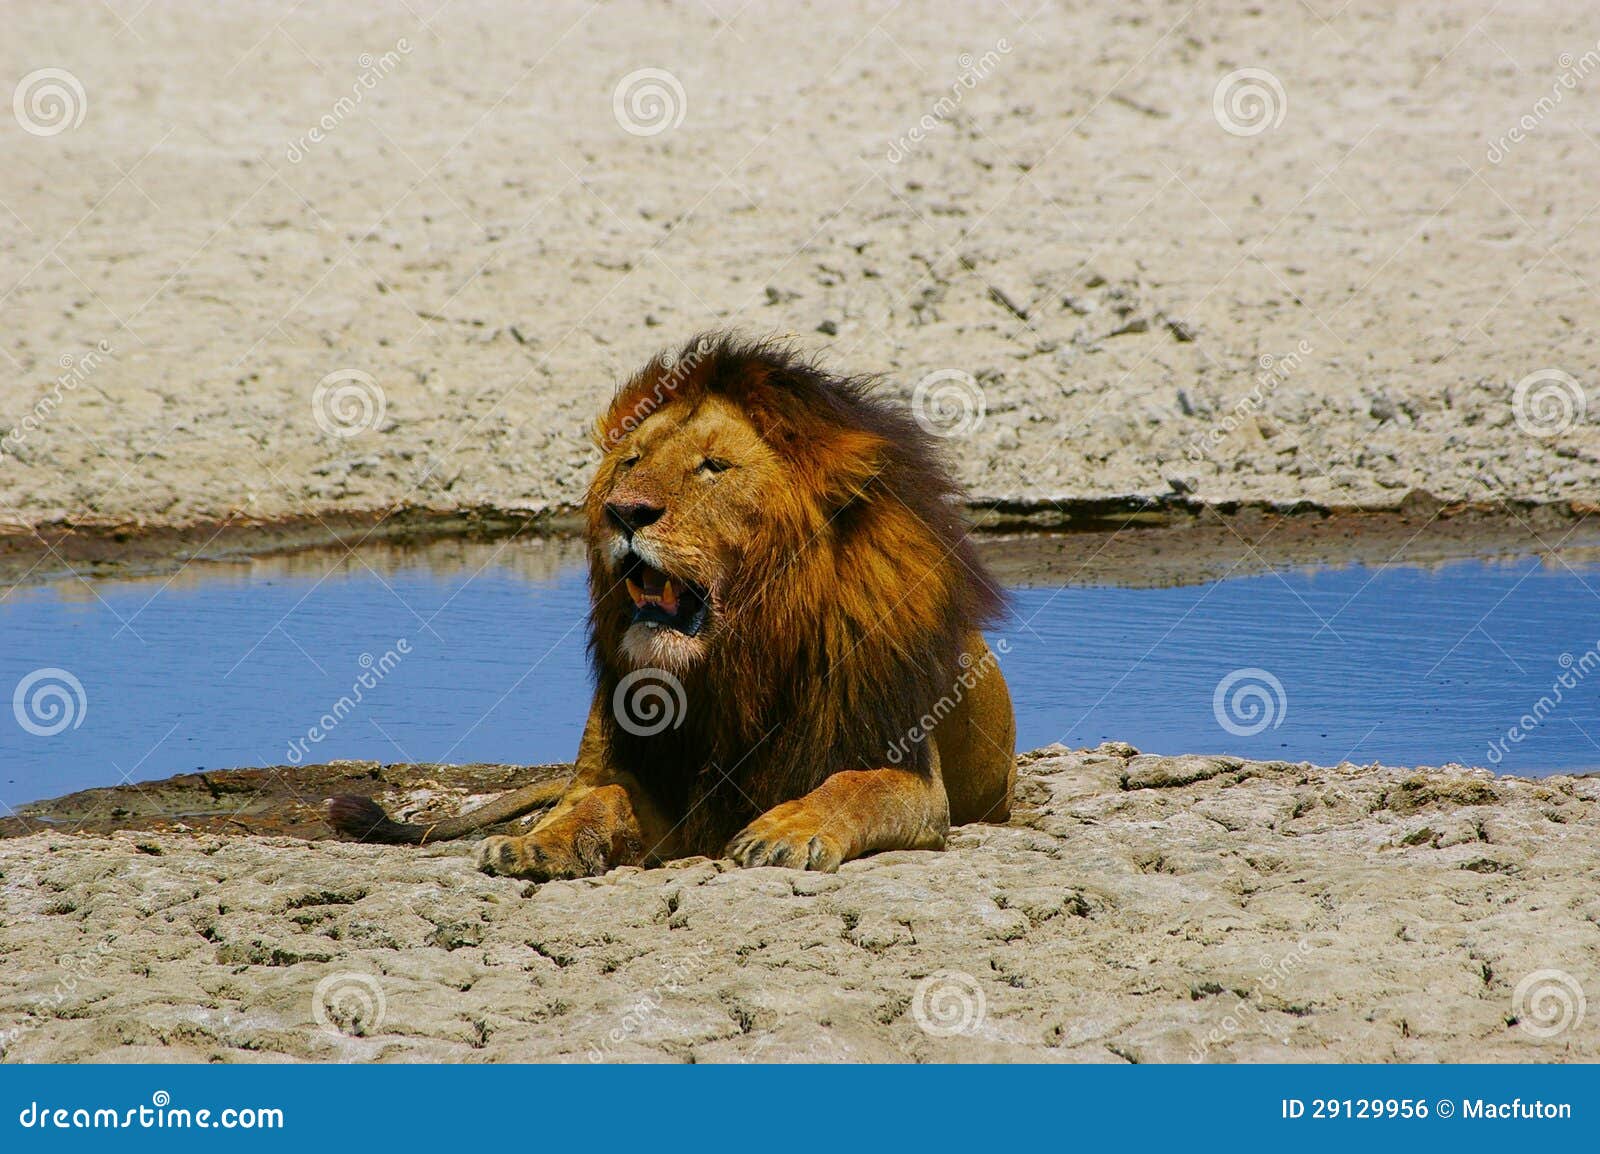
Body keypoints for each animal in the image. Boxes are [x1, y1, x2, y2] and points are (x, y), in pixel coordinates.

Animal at [328, 334, 1015, 878]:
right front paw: (537, 845)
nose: (625, 511)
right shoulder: (656, 786)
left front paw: (784, 832)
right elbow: (600, 801)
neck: (744, 658)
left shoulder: (913, 777)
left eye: (713, 466)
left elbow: (855, 786)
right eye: (631, 460)